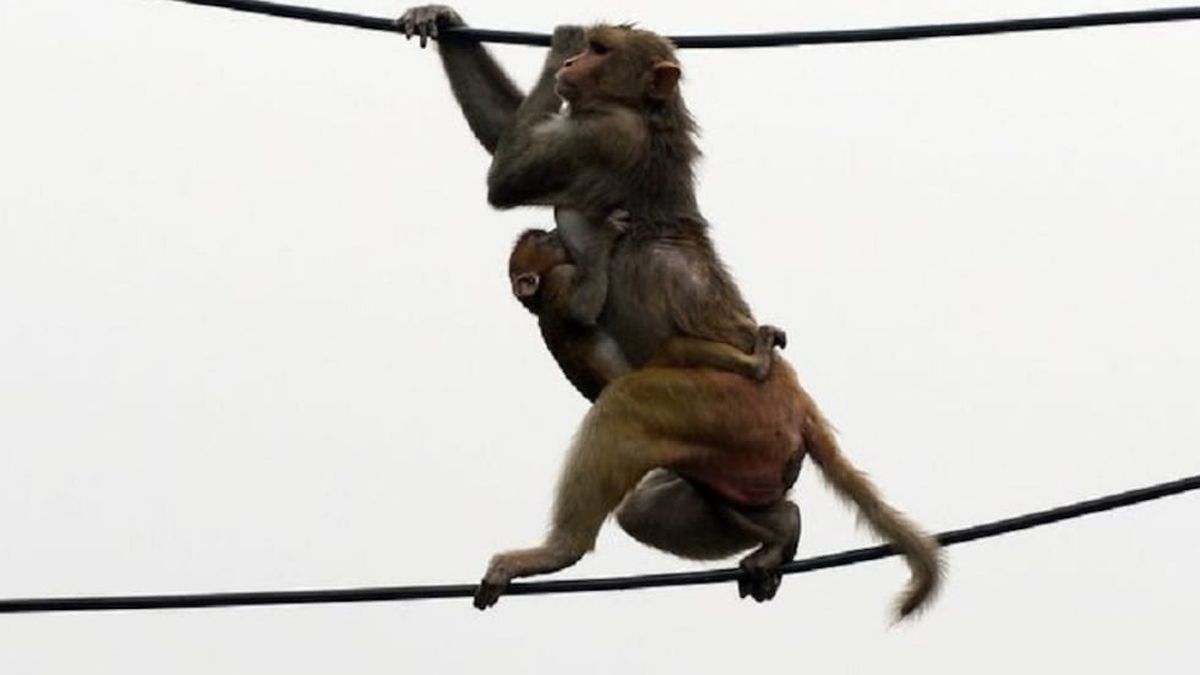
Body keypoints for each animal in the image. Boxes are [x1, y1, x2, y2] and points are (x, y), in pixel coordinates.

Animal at [399, 7, 942, 617]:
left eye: (599, 51)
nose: (571, 61)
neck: (648, 115)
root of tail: (796, 399)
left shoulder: (604, 135)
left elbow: (507, 177)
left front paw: (556, 40)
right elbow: (502, 132)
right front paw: (443, 18)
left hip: (735, 407)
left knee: (628, 406)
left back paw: (558, 551)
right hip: (747, 451)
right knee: (654, 504)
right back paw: (782, 529)